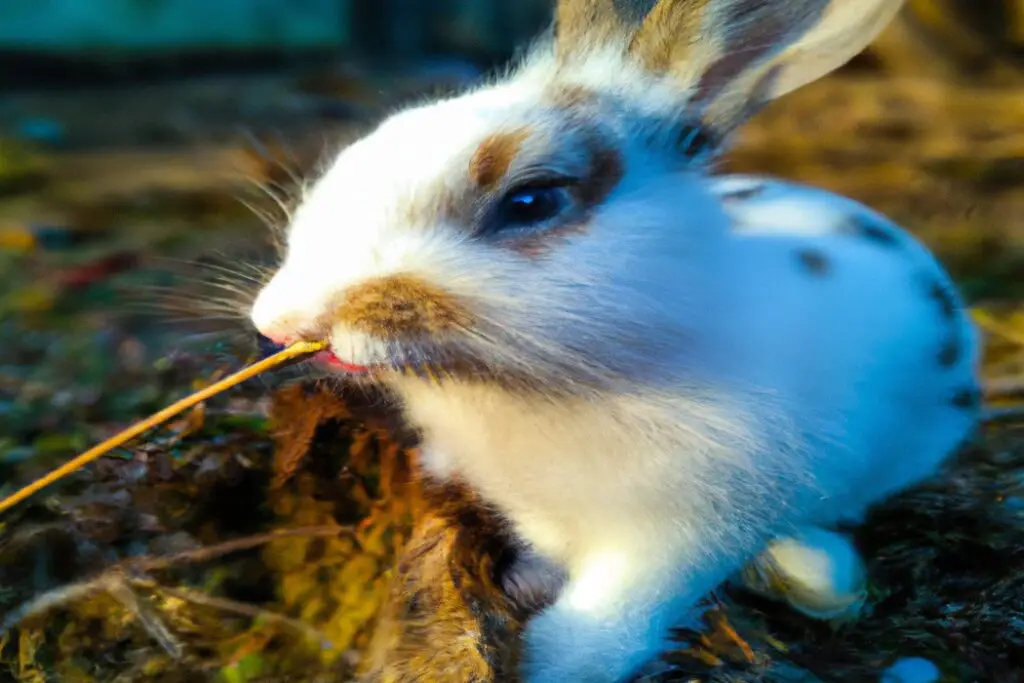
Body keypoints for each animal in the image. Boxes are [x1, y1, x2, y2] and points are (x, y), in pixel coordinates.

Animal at [249, 0, 982, 680]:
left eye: (531, 201)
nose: (279, 321)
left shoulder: (678, 540)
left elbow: (608, 622)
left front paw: (551, 661)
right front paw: (526, 580)